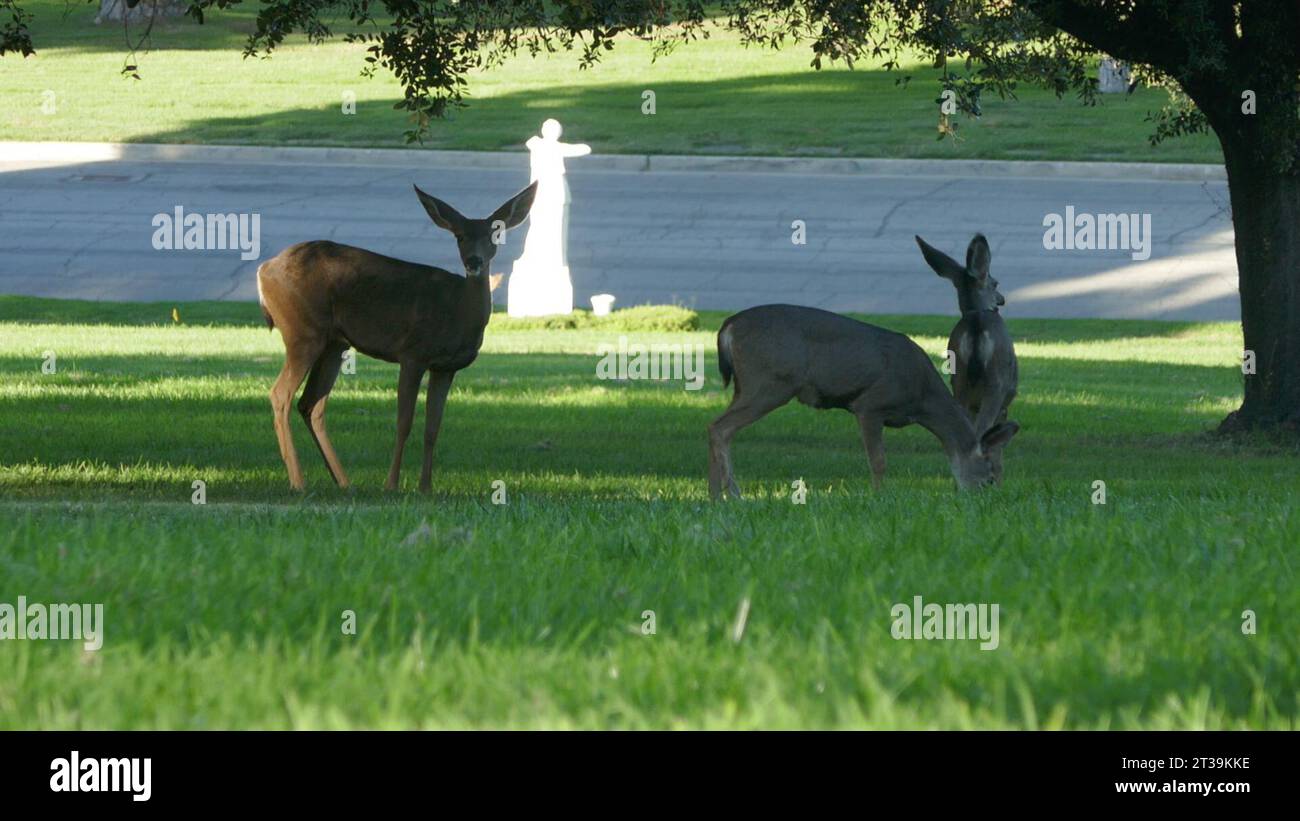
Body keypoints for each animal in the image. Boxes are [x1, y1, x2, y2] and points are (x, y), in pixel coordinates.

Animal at [256, 182, 537, 492]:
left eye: (494, 234)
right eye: (460, 236)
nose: (474, 261)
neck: (458, 312)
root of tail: (263, 270)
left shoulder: (446, 367)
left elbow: (433, 427)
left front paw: (426, 487)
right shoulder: (413, 353)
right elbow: (404, 422)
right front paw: (392, 484)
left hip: (334, 343)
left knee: (311, 404)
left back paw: (344, 482)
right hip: (303, 331)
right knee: (280, 394)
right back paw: (299, 482)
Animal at [708, 304, 1019, 499]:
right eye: (989, 478)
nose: (981, 498)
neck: (921, 398)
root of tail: (727, 327)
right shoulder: (870, 404)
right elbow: (878, 461)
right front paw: (879, 497)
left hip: (745, 385)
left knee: (715, 427)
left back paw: (714, 498)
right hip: (769, 381)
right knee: (721, 428)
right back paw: (733, 494)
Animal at [914, 233, 1019, 482]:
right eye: (995, 283)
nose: (1001, 300)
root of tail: (976, 325)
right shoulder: (1003, 405)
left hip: (959, 379)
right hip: (996, 384)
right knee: (982, 431)